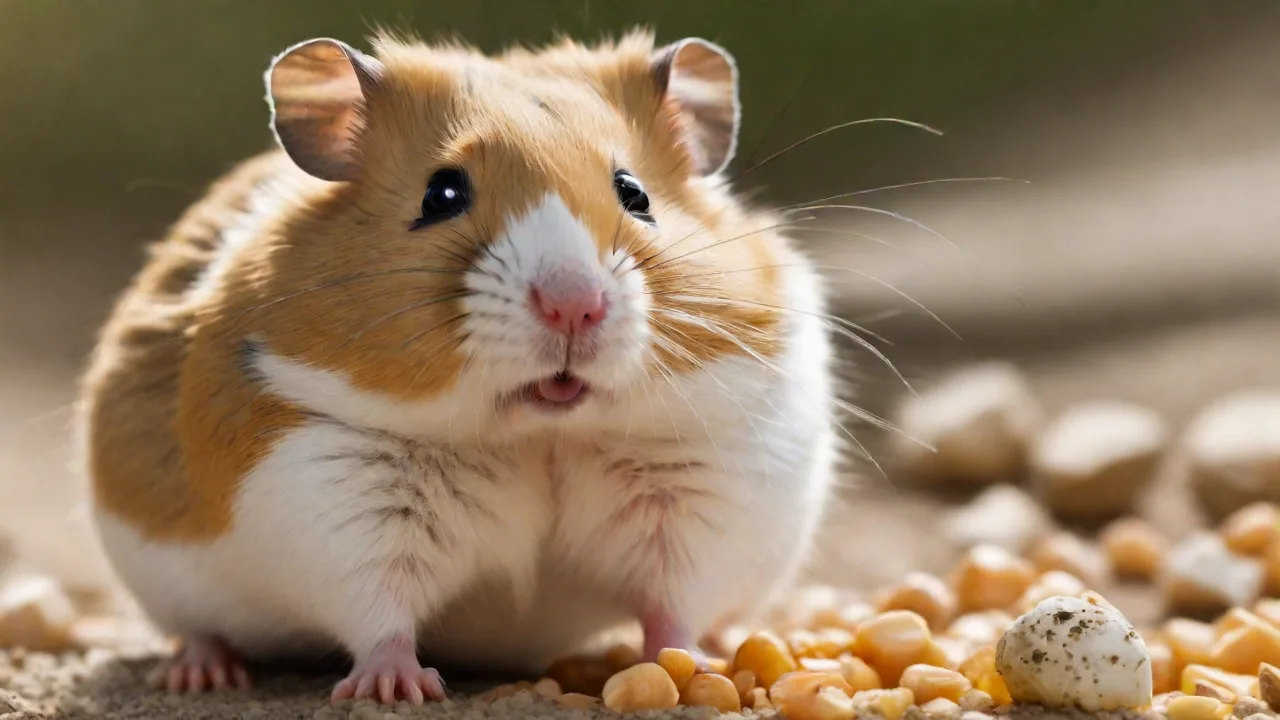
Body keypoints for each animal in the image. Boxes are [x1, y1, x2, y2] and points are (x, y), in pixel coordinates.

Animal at [77, 29, 838, 705]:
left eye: (635, 193)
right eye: (441, 194)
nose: (575, 306)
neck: (541, 435)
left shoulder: (703, 492)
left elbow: (673, 605)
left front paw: (697, 668)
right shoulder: (333, 495)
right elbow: (379, 611)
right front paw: (396, 689)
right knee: (199, 631)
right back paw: (201, 672)